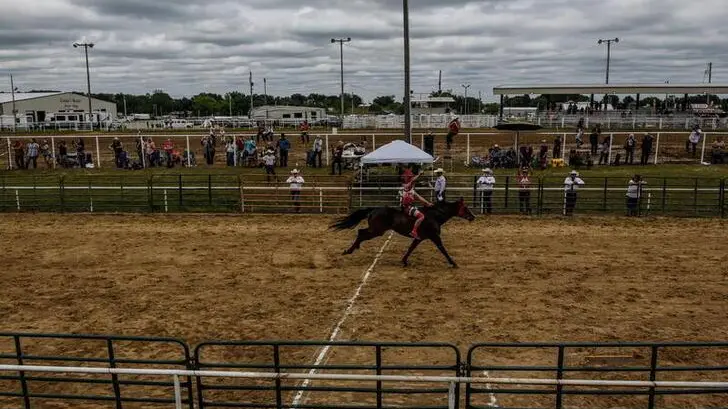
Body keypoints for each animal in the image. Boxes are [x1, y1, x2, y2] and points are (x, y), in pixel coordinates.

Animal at [329, 198, 475, 268]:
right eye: (465, 208)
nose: (473, 217)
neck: (435, 215)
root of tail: (374, 209)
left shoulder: (419, 238)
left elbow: (411, 248)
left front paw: (404, 261)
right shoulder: (434, 236)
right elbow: (443, 249)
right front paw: (453, 263)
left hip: (376, 231)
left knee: (361, 233)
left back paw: (351, 249)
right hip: (377, 231)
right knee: (361, 233)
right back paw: (349, 250)